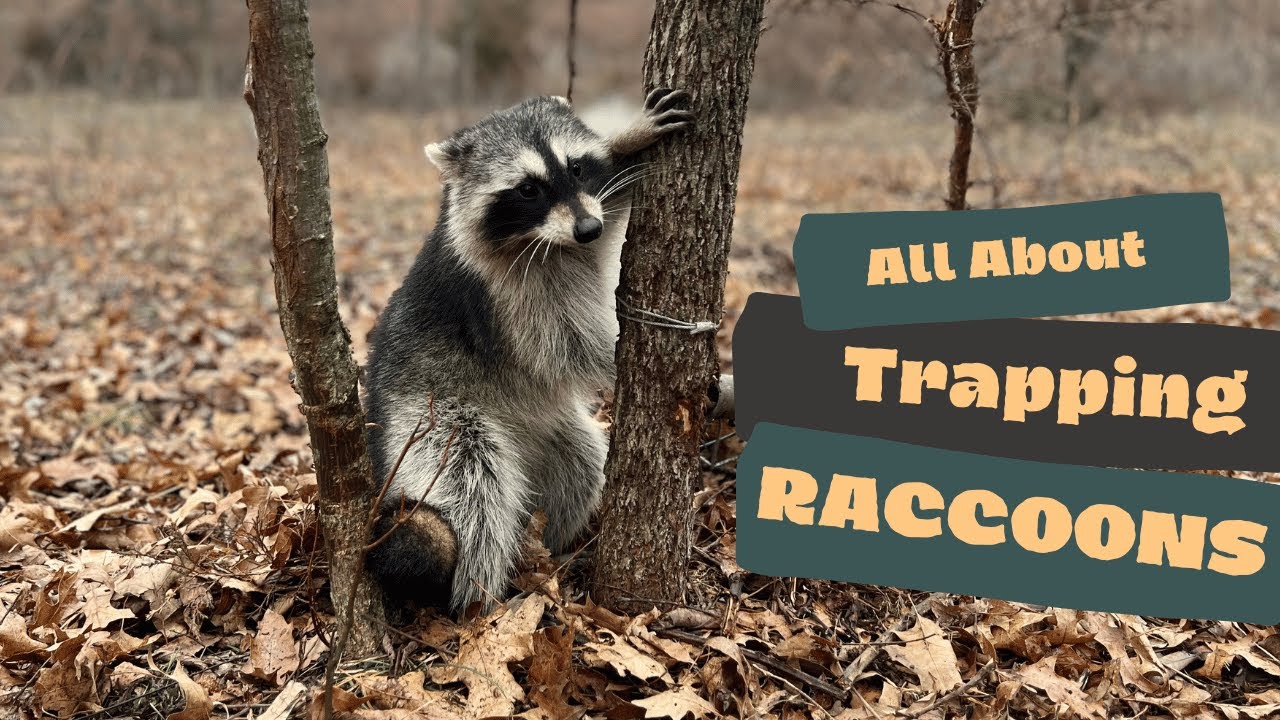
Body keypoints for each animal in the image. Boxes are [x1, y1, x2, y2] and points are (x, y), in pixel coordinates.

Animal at [364, 89, 693, 613]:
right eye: (527, 189)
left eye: (575, 168)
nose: (588, 229)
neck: (549, 241)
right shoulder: (503, 295)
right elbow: (569, 346)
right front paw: (623, 353)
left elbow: (612, 196)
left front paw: (626, 140)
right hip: (431, 424)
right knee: (476, 494)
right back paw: (477, 599)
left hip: (549, 436)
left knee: (581, 466)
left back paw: (551, 545)